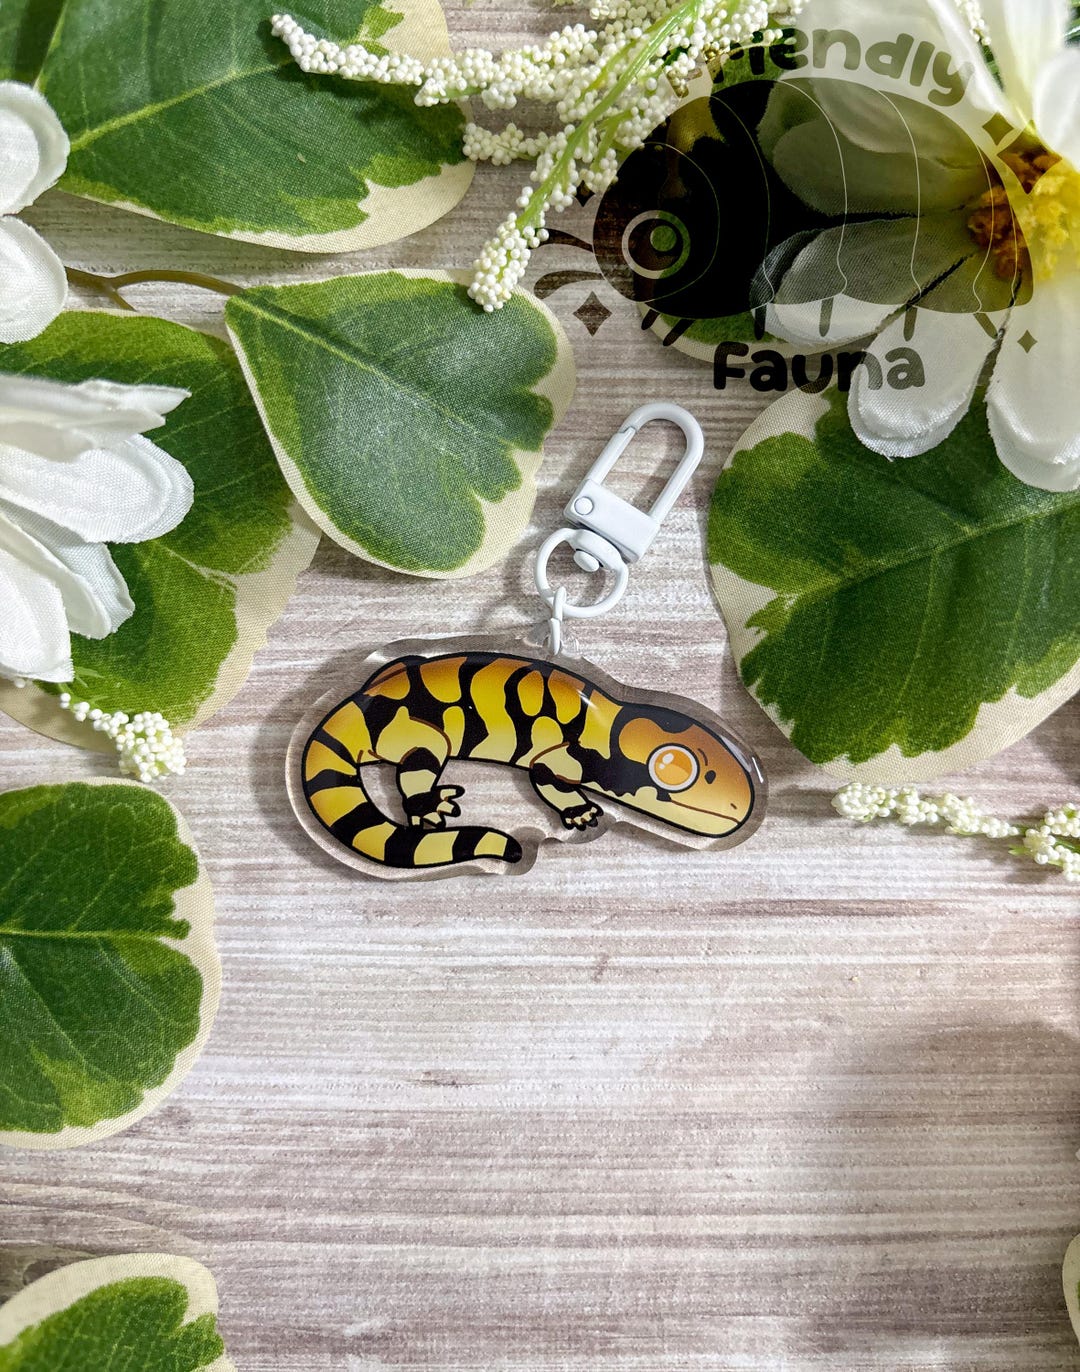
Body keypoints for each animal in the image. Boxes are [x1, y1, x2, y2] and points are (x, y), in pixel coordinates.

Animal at [298, 650, 762, 871]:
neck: (610, 726)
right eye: (675, 769)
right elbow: (545, 775)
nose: (740, 808)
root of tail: (357, 706)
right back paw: (428, 805)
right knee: (420, 765)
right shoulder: (565, 758)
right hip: (416, 734)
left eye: (735, 764)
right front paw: (578, 812)